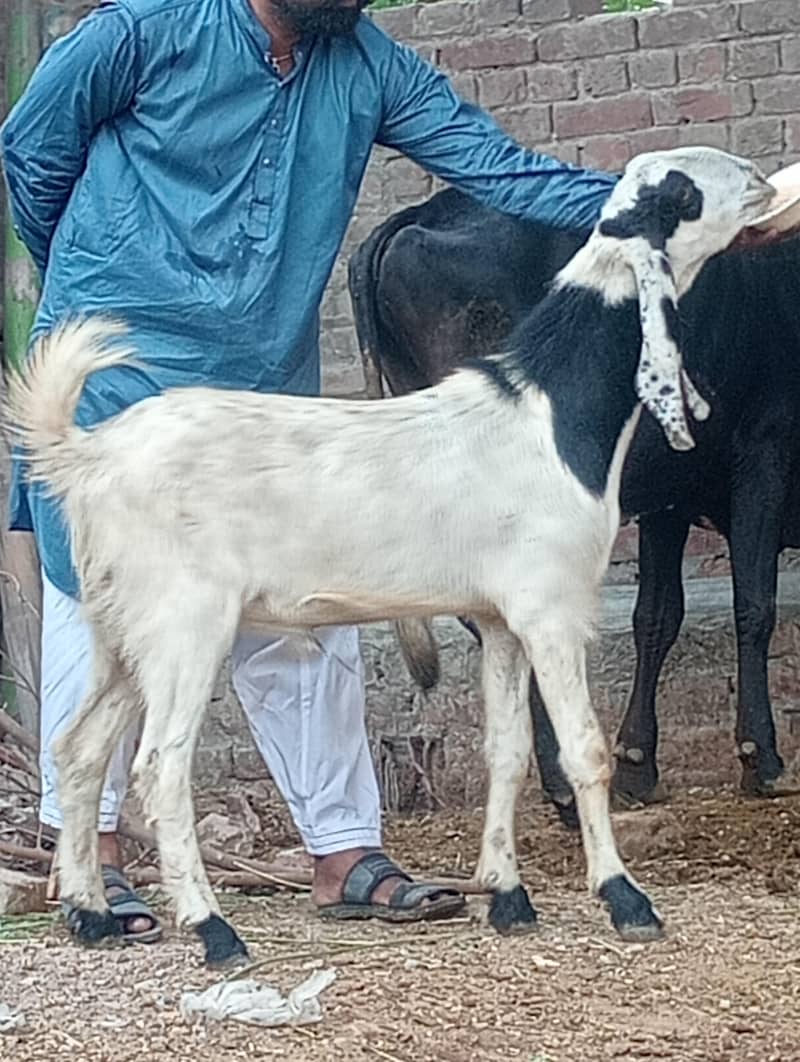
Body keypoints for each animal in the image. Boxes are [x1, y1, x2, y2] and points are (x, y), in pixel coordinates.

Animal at [349, 180, 800, 820]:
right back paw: (561, 782)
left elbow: (656, 616)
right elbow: (755, 606)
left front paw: (637, 760)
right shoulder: (766, 446)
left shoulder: (669, 491)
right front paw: (761, 756)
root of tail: (424, 213)